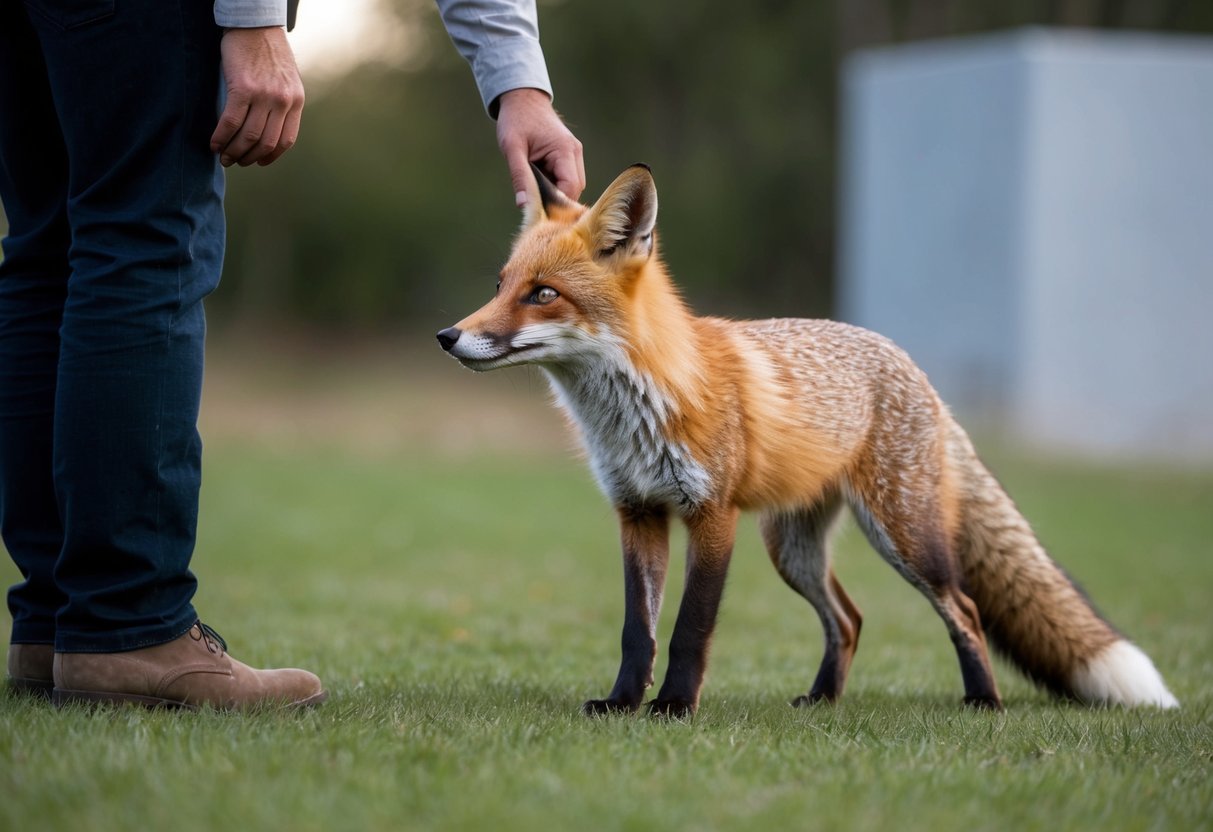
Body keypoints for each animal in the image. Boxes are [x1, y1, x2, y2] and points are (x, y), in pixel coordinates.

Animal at [436, 163, 1179, 717]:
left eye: (542, 294)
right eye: (500, 285)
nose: (448, 336)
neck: (637, 407)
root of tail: (912, 368)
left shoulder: (712, 516)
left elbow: (688, 629)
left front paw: (673, 708)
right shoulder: (637, 512)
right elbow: (635, 631)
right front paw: (621, 704)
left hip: (902, 537)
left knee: (963, 609)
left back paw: (983, 702)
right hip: (791, 549)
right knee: (848, 619)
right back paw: (823, 700)